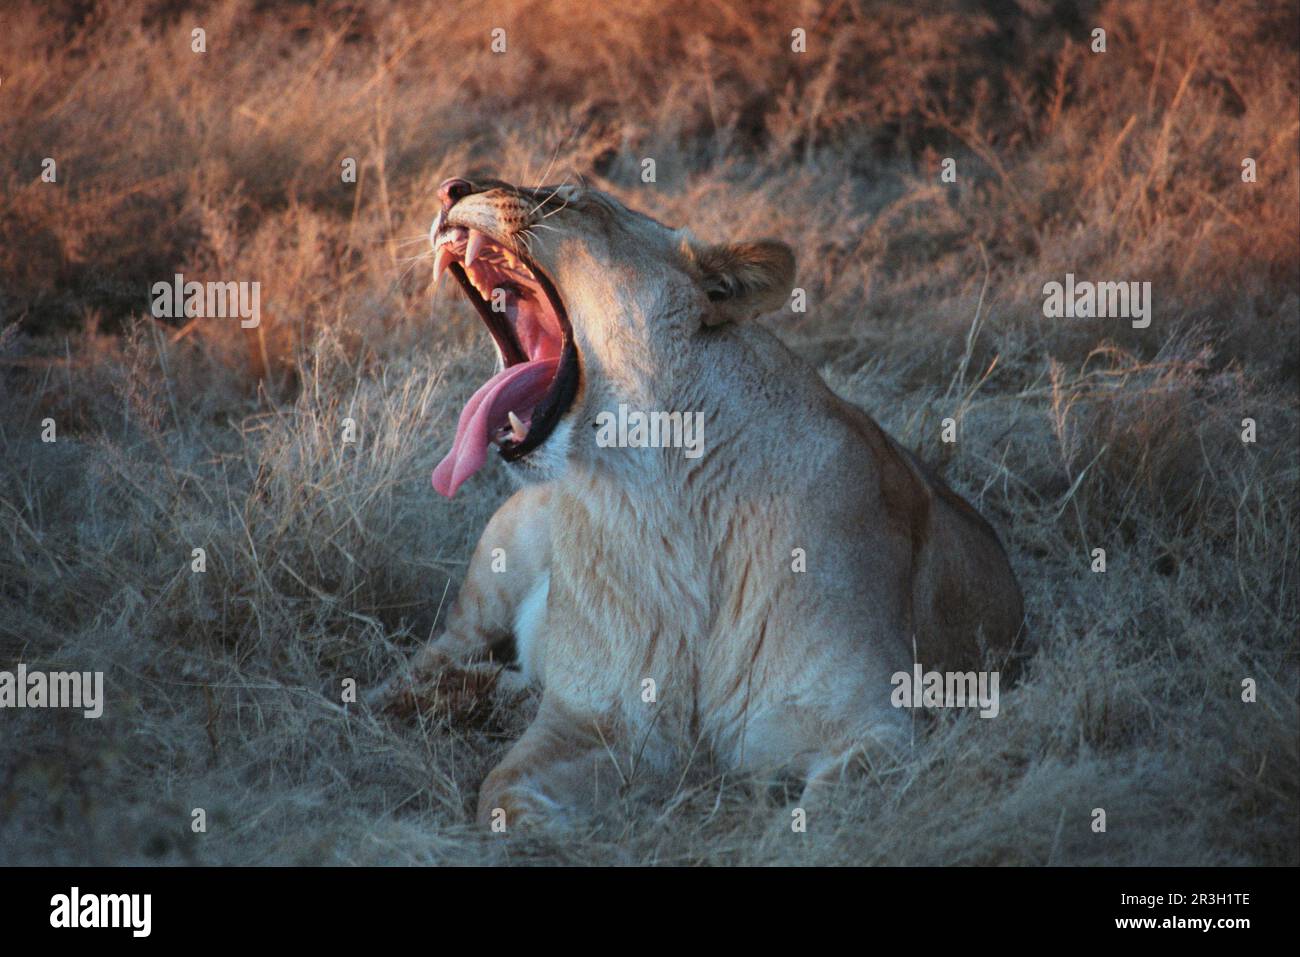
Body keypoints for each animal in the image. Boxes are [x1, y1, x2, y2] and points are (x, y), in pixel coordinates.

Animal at [391, 175, 1025, 826]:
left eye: (571, 200)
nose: (451, 188)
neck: (662, 494)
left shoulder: (873, 722)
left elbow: (831, 805)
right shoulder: (587, 721)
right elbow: (501, 793)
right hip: (497, 566)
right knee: (430, 659)